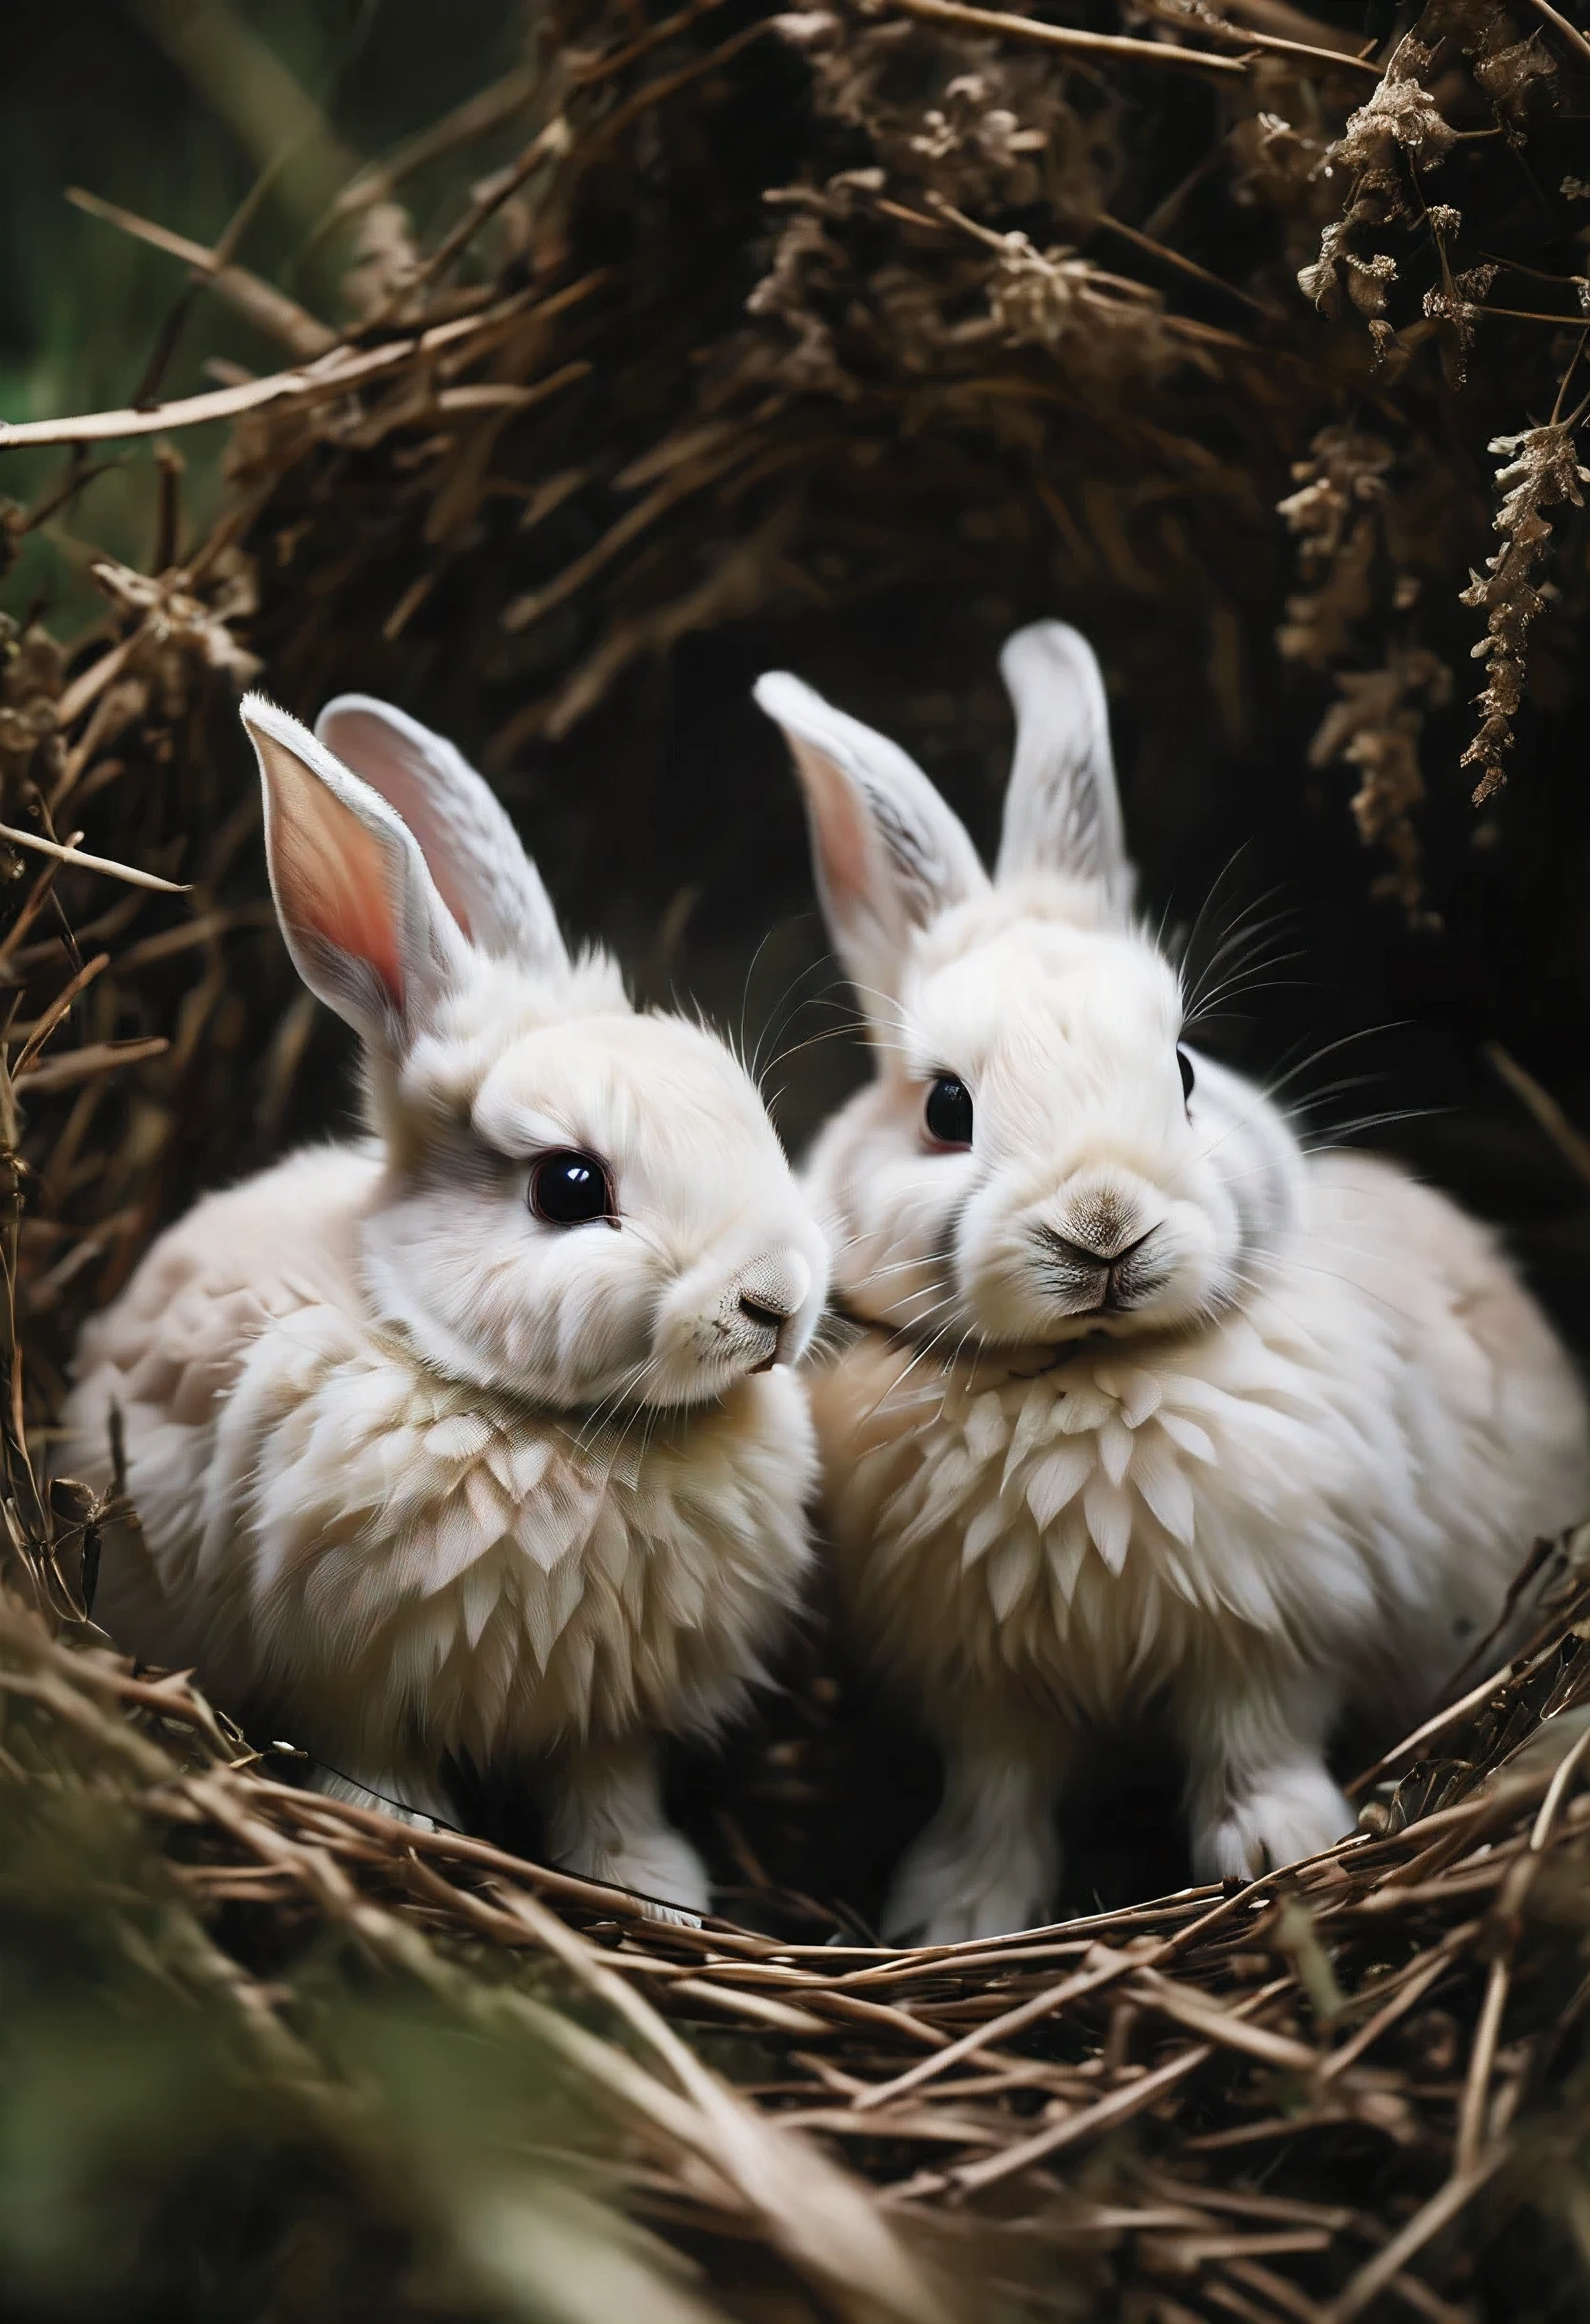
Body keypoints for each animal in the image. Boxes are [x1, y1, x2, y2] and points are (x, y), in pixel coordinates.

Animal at [64, 690, 829, 1919]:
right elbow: (377, 1757)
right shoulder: (353, 1671)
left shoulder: (607, 1707)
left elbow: (611, 1784)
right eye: (571, 1186)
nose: (775, 1302)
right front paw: (398, 1828)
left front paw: (652, 1885)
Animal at [755, 621, 1590, 1945]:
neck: (1086, 1376)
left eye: (1187, 1067)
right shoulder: (987, 1681)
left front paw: (1280, 1845)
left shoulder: (1268, 1631)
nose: (1104, 1222)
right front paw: (956, 1911)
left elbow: (1255, 1738)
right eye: (945, 1108)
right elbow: (995, 1791)